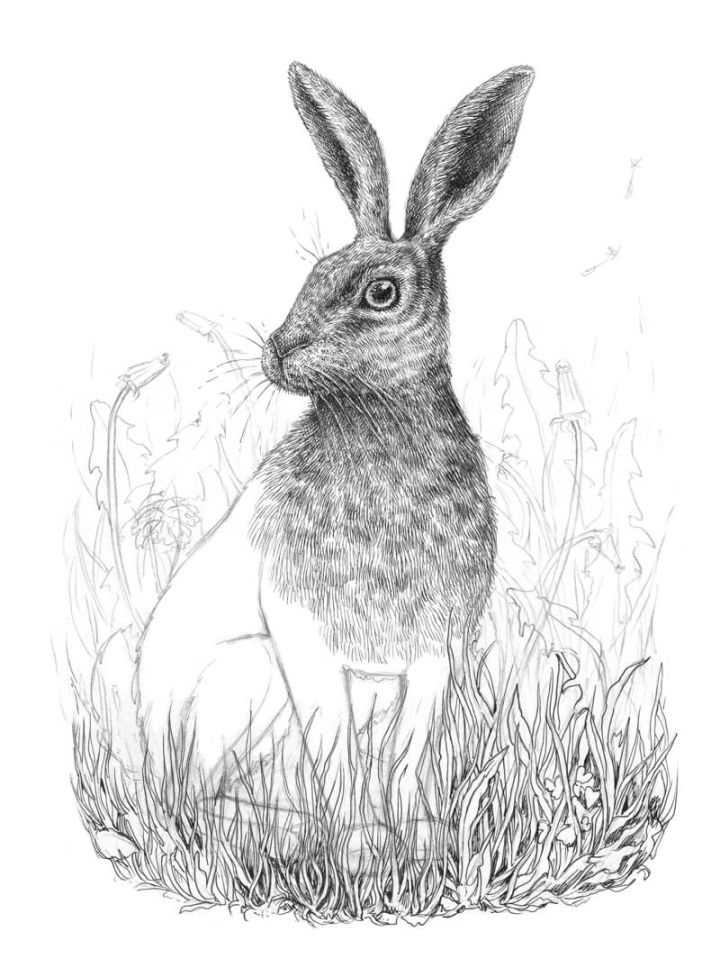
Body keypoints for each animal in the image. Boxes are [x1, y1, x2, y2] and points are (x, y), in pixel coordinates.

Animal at [137, 62, 534, 809]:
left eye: (381, 293)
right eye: (313, 272)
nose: (276, 352)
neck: (378, 418)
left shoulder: (435, 651)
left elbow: (407, 754)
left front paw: (403, 827)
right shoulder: (299, 628)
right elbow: (333, 740)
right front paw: (353, 825)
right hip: (251, 670)